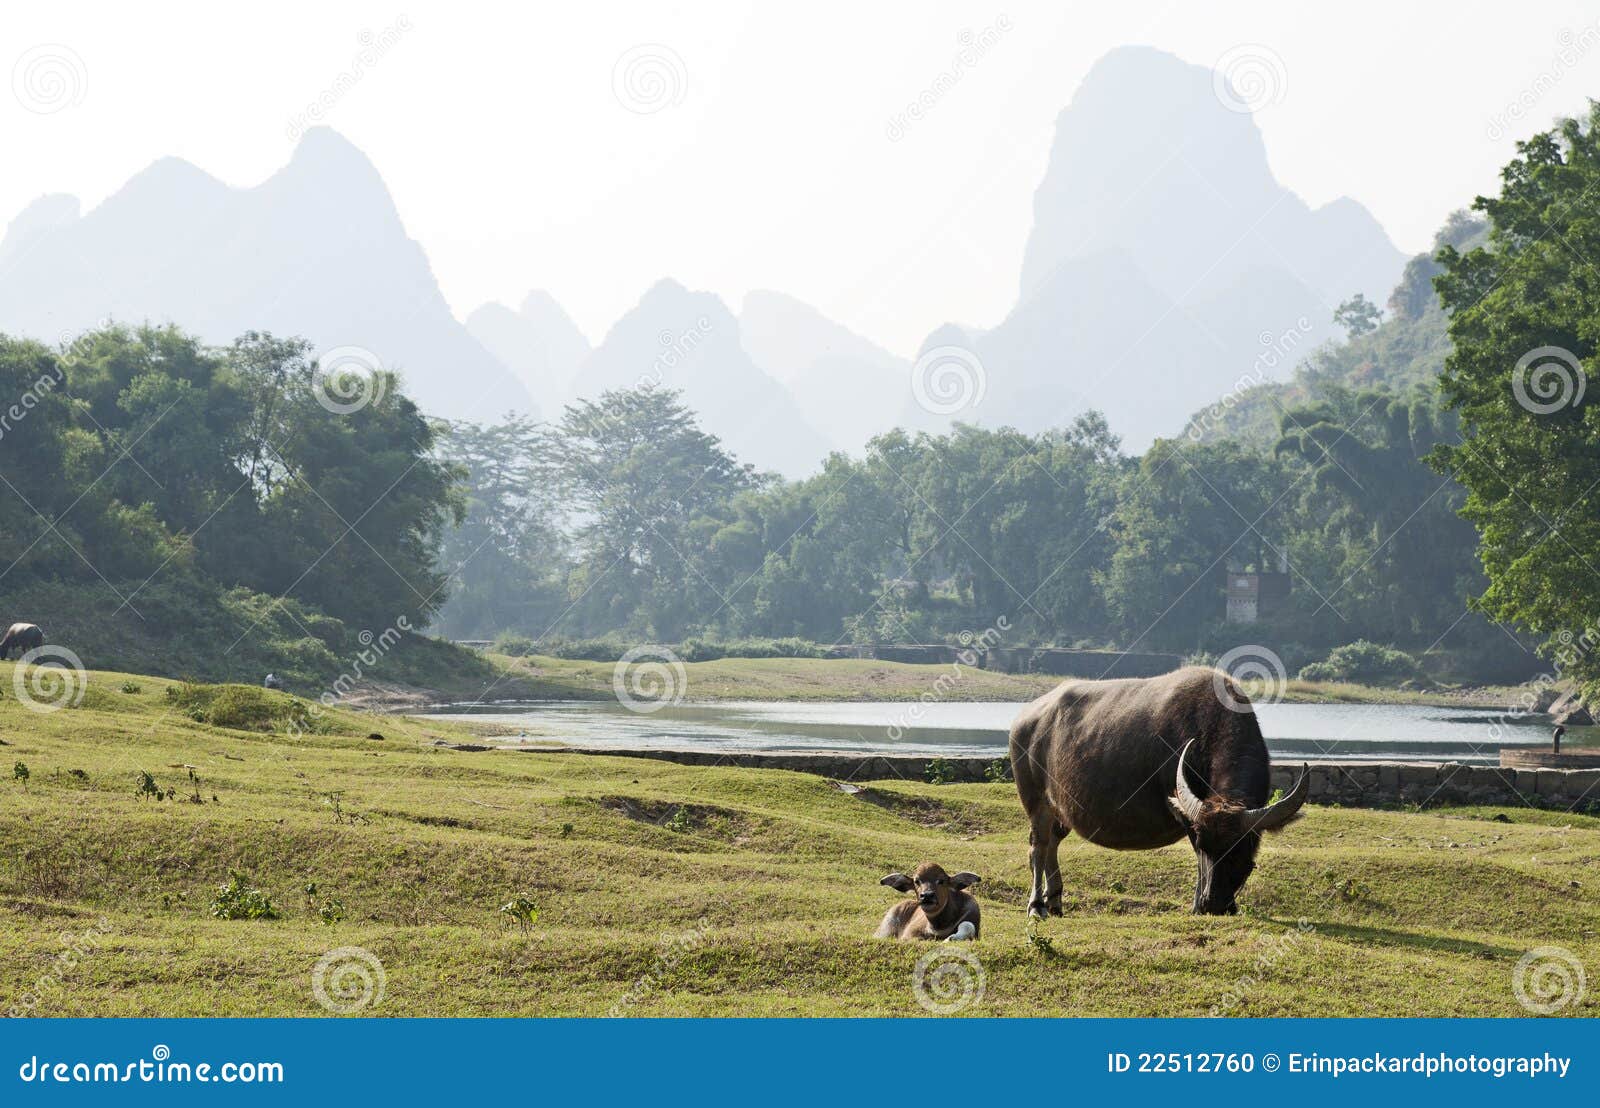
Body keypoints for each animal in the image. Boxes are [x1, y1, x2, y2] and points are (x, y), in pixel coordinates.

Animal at [1010, 666, 1308, 916]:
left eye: (1241, 846)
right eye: (1205, 846)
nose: (1213, 904)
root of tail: (1026, 719)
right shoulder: (1188, 817)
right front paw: (1196, 904)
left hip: (1060, 809)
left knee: (1053, 843)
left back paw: (1055, 902)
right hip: (1035, 801)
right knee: (1038, 847)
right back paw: (1036, 906)